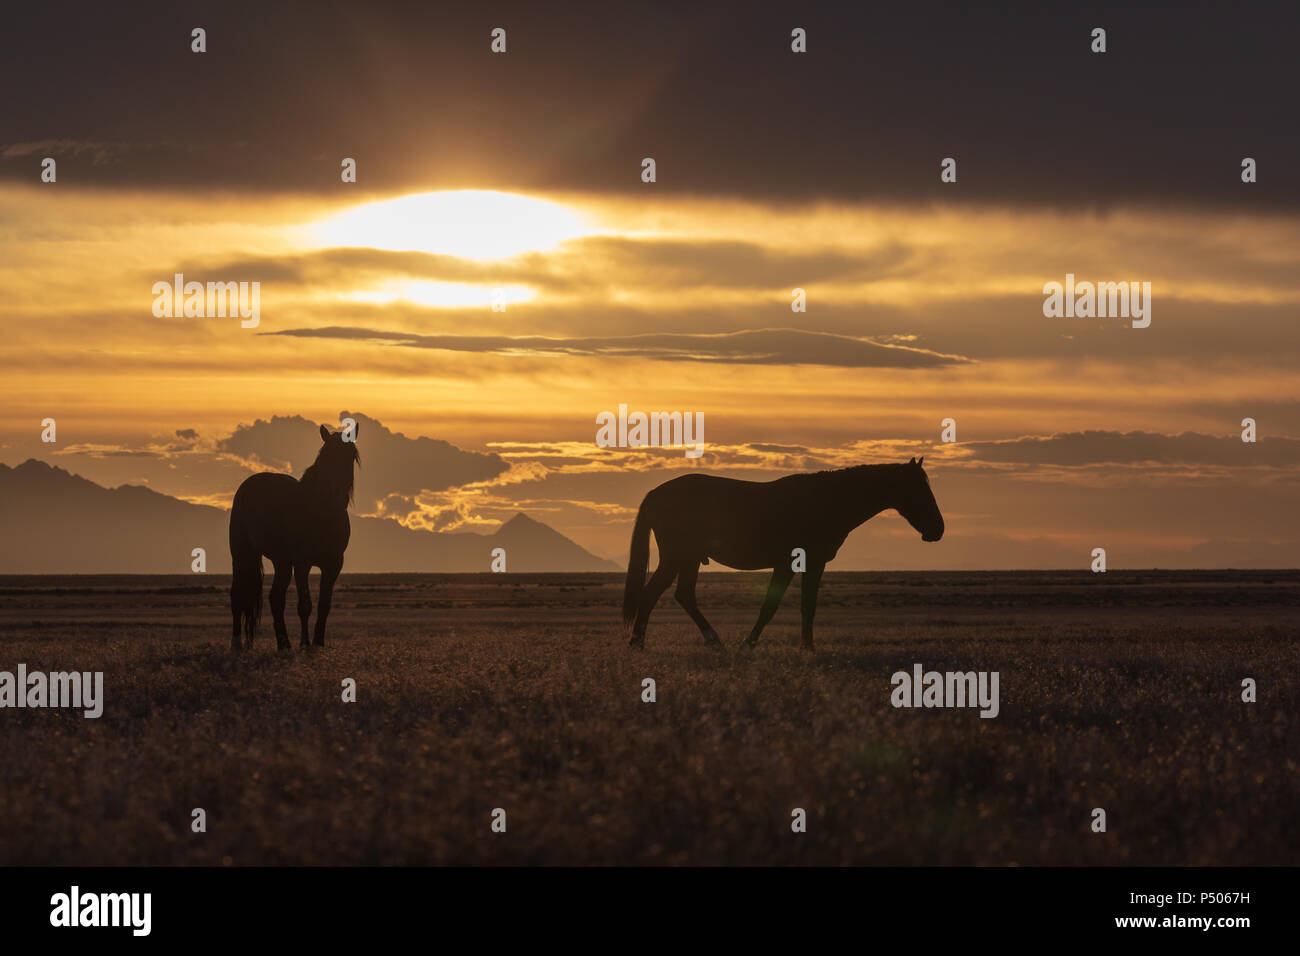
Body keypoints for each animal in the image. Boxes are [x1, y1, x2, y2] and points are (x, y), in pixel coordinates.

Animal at [228, 423, 359, 652]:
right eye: (327, 453)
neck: (321, 511)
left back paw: (284, 644)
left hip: (281, 562)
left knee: (275, 598)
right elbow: (304, 605)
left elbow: (324, 604)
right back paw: (237, 643)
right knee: (239, 594)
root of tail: (248, 486)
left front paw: (317, 643)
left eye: (351, 454)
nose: (339, 494)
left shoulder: (333, 564)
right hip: (241, 554)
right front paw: (305, 644)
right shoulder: (302, 563)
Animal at [621, 457, 944, 652]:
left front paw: (807, 648)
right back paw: (639, 645)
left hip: (688, 560)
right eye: (919, 490)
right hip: (677, 557)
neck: (827, 500)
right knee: (653, 594)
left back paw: (711, 643)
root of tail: (655, 494)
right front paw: (749, 645)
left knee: (682, 595)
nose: (938, 529)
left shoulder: (812, 565)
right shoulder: (790, 564)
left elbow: (807, 607)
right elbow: (771, 606)